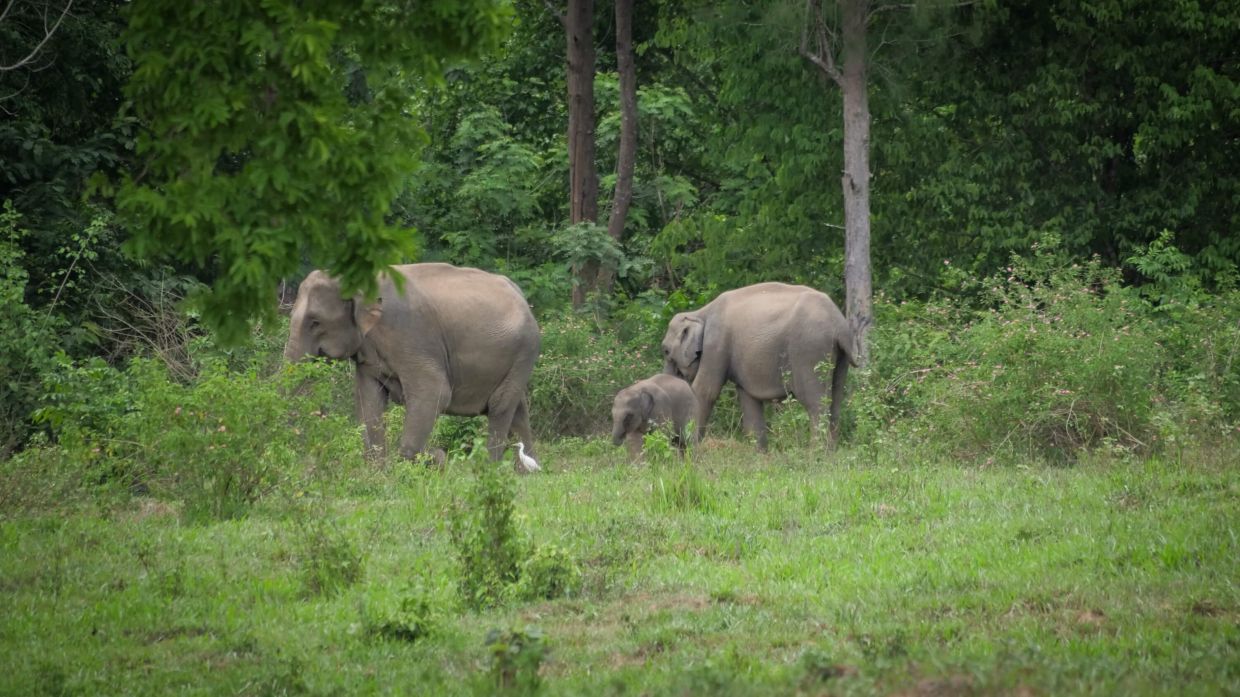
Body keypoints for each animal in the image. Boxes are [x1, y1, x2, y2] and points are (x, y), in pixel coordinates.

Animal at [283, 263, 541, 469]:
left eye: (315, 322)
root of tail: (520, 294)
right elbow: (369, 399)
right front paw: (377, 473)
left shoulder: (411, 335)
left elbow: (435, 392)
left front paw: (420, 464)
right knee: (518, 408)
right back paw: (526, 472)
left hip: (525, 349)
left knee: (499, 406)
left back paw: (491, 470)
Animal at [661, 282, 856, 450]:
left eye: (666, 351)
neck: (700, 312)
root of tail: (839, 324)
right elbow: (749, 400)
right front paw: (760, 455)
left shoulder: (716, 344)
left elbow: (705, 391)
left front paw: (692, 449)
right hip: (839, 357)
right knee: (835, 399)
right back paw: (831, 453)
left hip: (809, 351)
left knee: (815, 402)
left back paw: (816, 454)